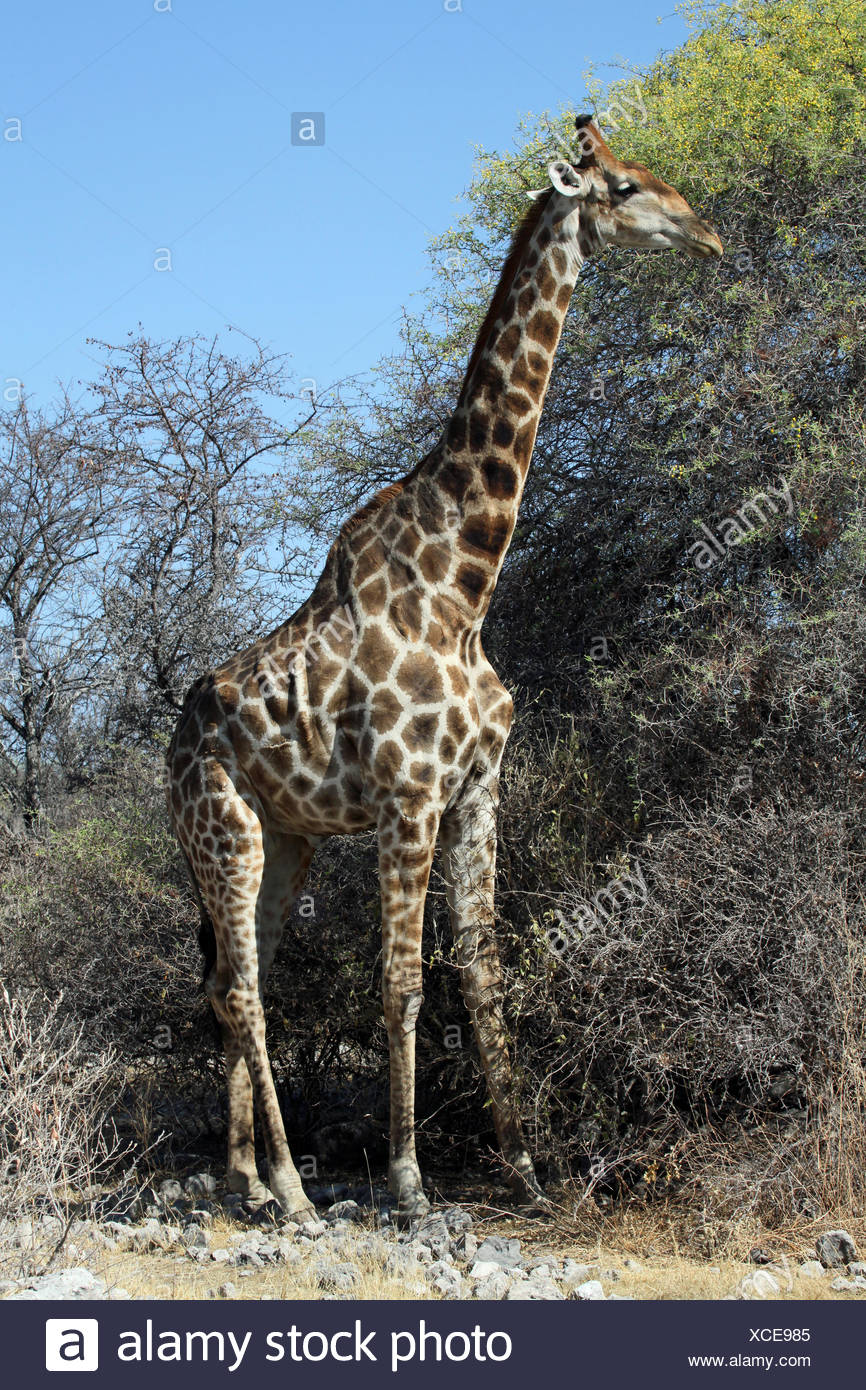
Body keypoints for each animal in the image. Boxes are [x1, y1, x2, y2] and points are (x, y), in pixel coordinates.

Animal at [167, 115, 722, 1224]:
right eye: (625, 186)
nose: (708, 234)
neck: (465, 580)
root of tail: (166, 748)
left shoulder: (477, 788)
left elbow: (481, 974)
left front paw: (529, 1171)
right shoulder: (408, 794)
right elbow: (401, 984)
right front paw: (411, 1182)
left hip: (284, 839)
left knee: (238, 985)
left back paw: (247, 1177)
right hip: (222, 830)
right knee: (242, 988)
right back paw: (292, 1189)